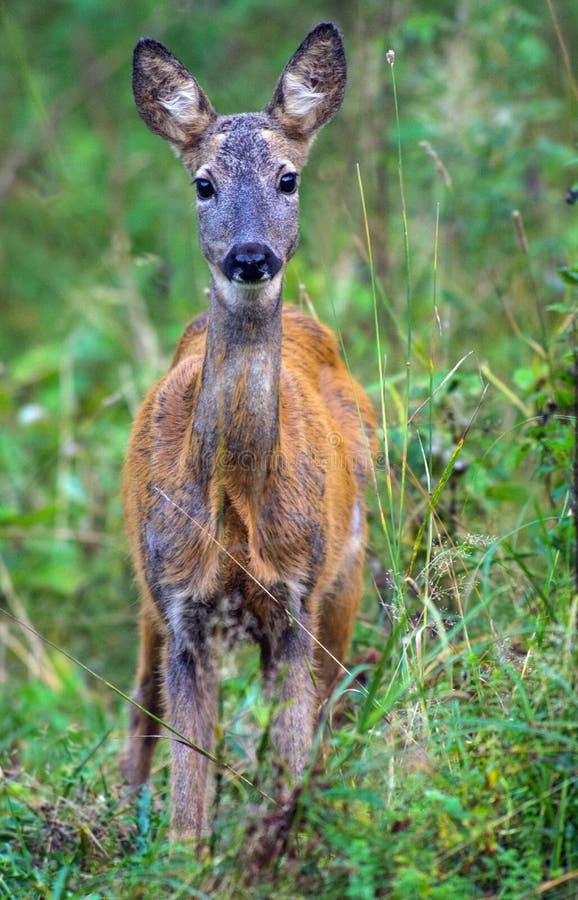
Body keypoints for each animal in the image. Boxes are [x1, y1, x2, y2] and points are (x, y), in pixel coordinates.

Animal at [122, 22, 377, 840]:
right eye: (203, 183)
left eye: (288, 178)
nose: (251, 256)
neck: (234, 500)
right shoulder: (180, 605)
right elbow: (186, 816)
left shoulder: (296, 598)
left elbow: (293, 759)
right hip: (145, 593)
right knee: (138, 713)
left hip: (347, 573)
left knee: (330, 714)